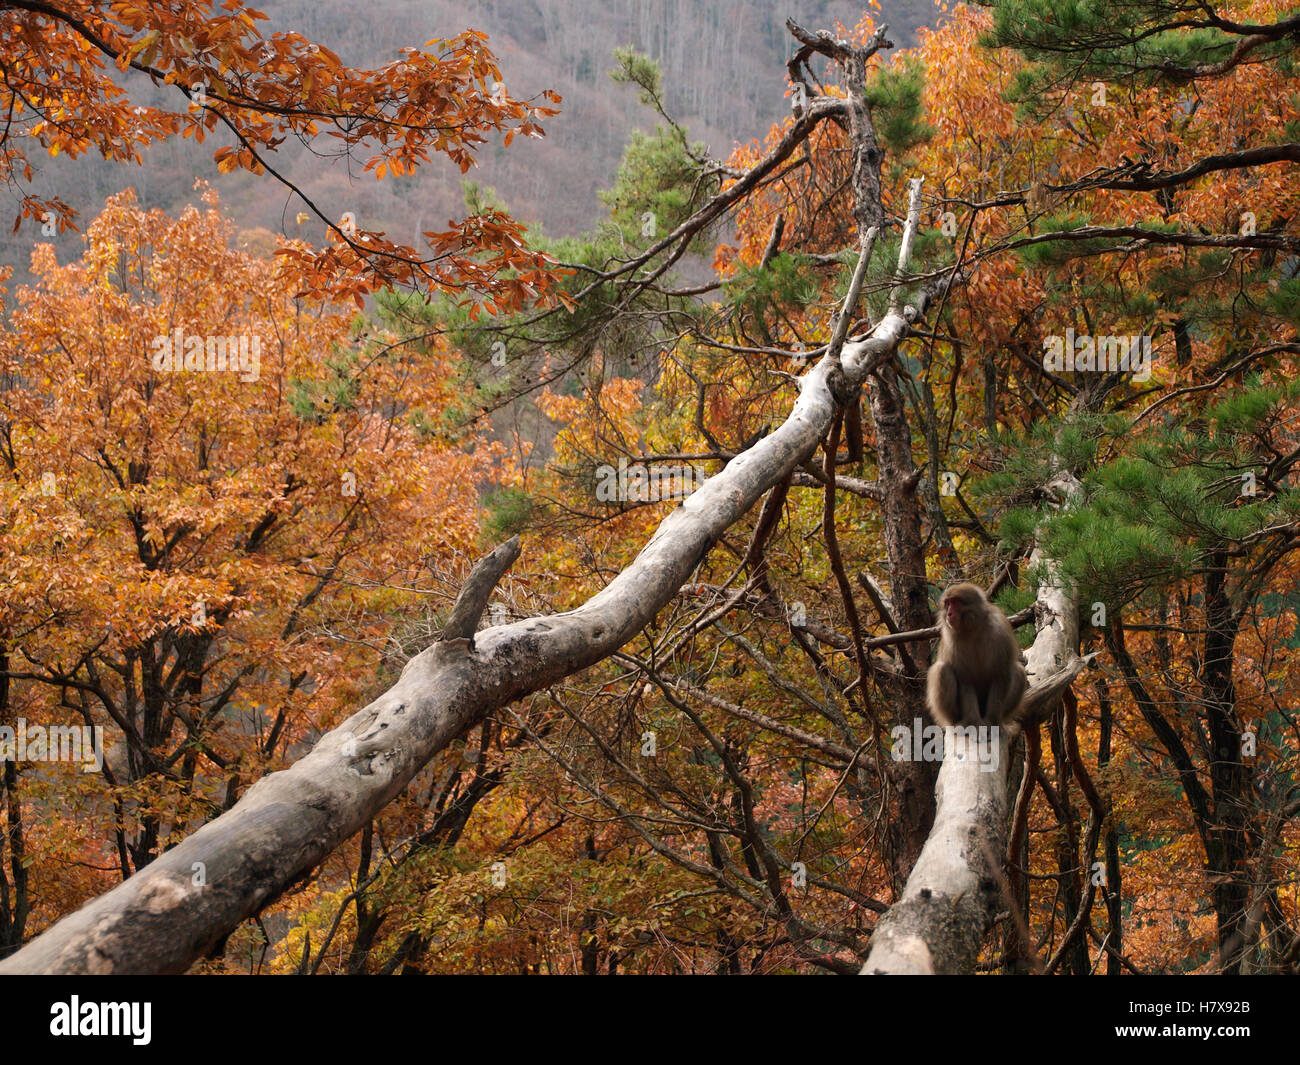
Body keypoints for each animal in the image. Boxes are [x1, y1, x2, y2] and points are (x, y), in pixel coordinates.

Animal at [925, 582, 1027, 729]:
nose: (949, 614)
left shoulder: (999, 633)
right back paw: (956, 721)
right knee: (942, 669)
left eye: (956, 602)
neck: (973, 628)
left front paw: (992, 721)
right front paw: (973, 722)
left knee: (1018, 671)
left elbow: (1000, 674)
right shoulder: (953, 641)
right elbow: (965, 678)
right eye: (948, 603)